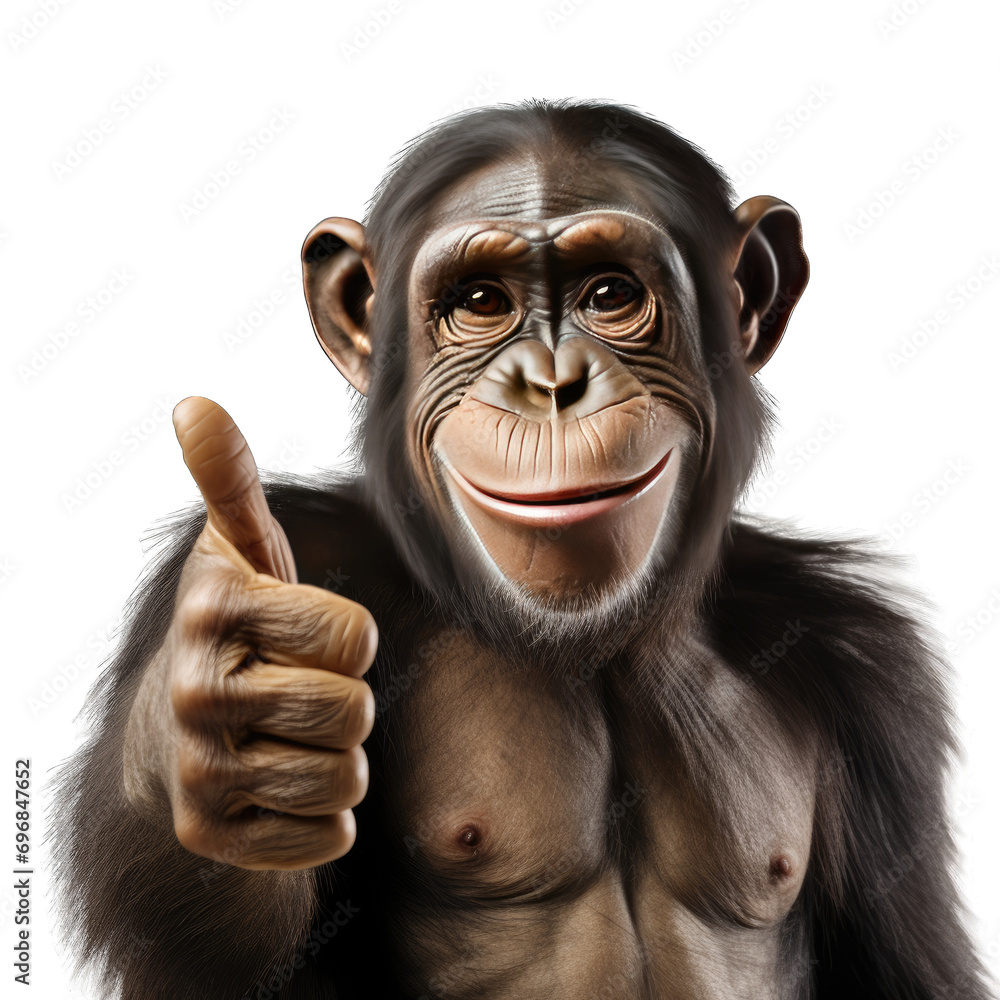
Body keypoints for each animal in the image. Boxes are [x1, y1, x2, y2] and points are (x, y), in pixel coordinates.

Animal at [52, 99, 991, 999]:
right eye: (480, 303)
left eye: (610, 294)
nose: (552, 383)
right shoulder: (299, 548)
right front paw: (243, 716)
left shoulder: (866, 666)